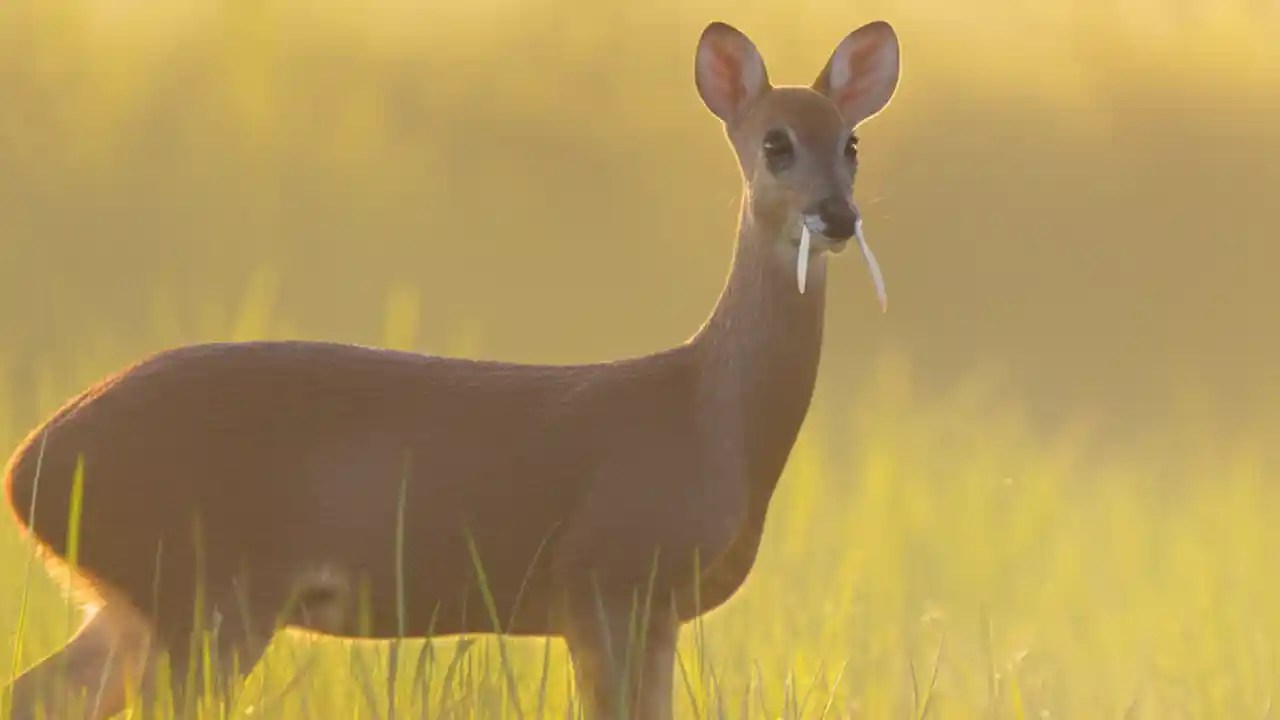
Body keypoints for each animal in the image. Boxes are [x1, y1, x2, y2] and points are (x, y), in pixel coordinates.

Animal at [2, 19, 900, 720]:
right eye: (776, 143)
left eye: (852, 142)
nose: (838, 216)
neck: (711, 416)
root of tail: (28, 466)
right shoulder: (604, 576)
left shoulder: (657, 608)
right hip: (202, 590)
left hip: (138, 601)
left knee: (35, 690)